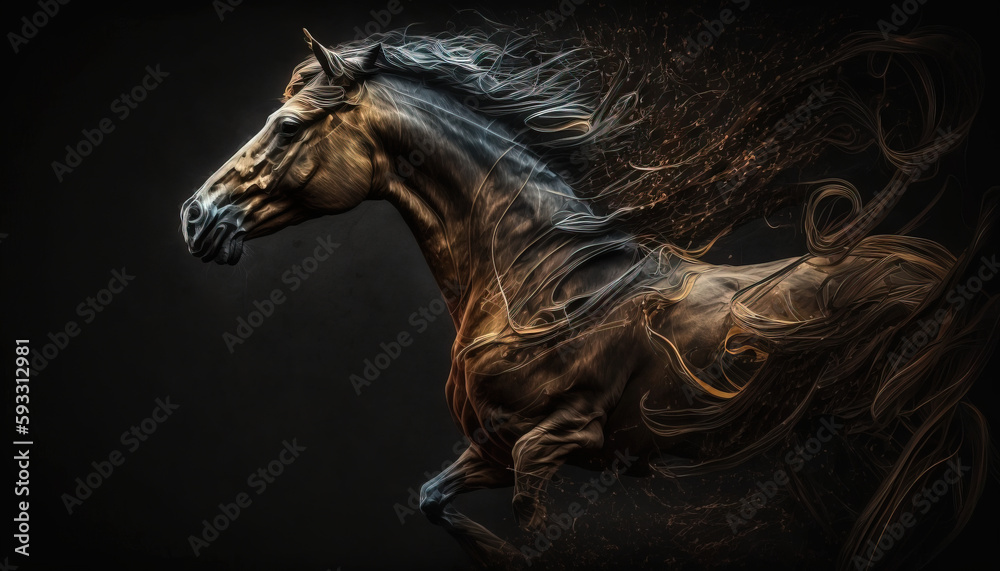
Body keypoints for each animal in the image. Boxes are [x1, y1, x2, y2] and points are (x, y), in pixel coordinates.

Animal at [180, 25, 996, 569]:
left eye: (288, 126)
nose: (195, 215)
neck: (541, 284)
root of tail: (936, 269)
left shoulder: (561, 439)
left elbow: (535, 522)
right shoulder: (491, 445)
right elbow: (433, 499)